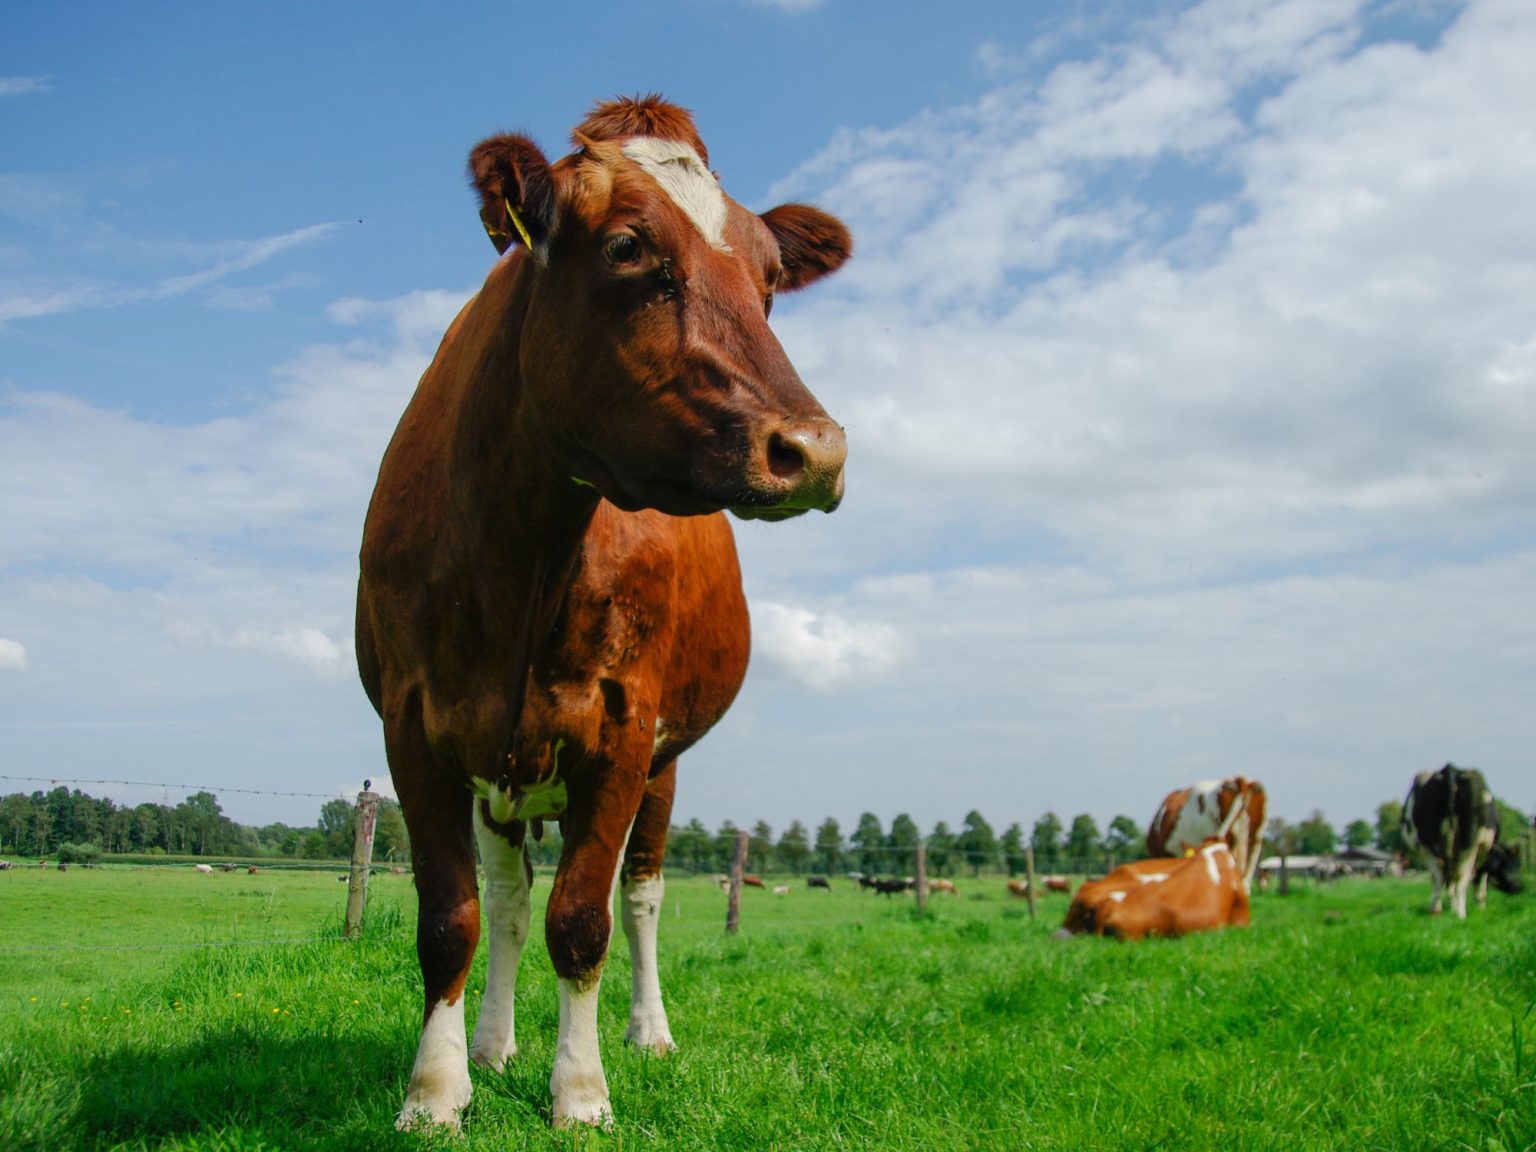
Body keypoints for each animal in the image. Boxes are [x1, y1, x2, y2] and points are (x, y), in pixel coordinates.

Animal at [355, 95, 850, 1132]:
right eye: (628, 246)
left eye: (772, 278)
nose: (816, 450)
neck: (516, 556)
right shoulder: (414, 727)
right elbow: (453, 917)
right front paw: (437, 1090)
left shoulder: (622, 729)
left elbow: (583, 920)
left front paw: (580, 1092)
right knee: (508, 900)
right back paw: (494, 1044)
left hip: (661, 762)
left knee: (642, 896)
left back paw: (645, 1032)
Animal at [1402, 763, 1524, 920]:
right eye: (1515, 864)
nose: (1519, 887)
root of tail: (1450, 769)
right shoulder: (1483, 857)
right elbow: (1479, 882)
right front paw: (1480, 908)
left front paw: (1452, 908)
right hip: (1468, 846)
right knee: (1460, 879)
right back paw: (1461, 915)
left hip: (1427, 846)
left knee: (1439, 877)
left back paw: (1436, 911)